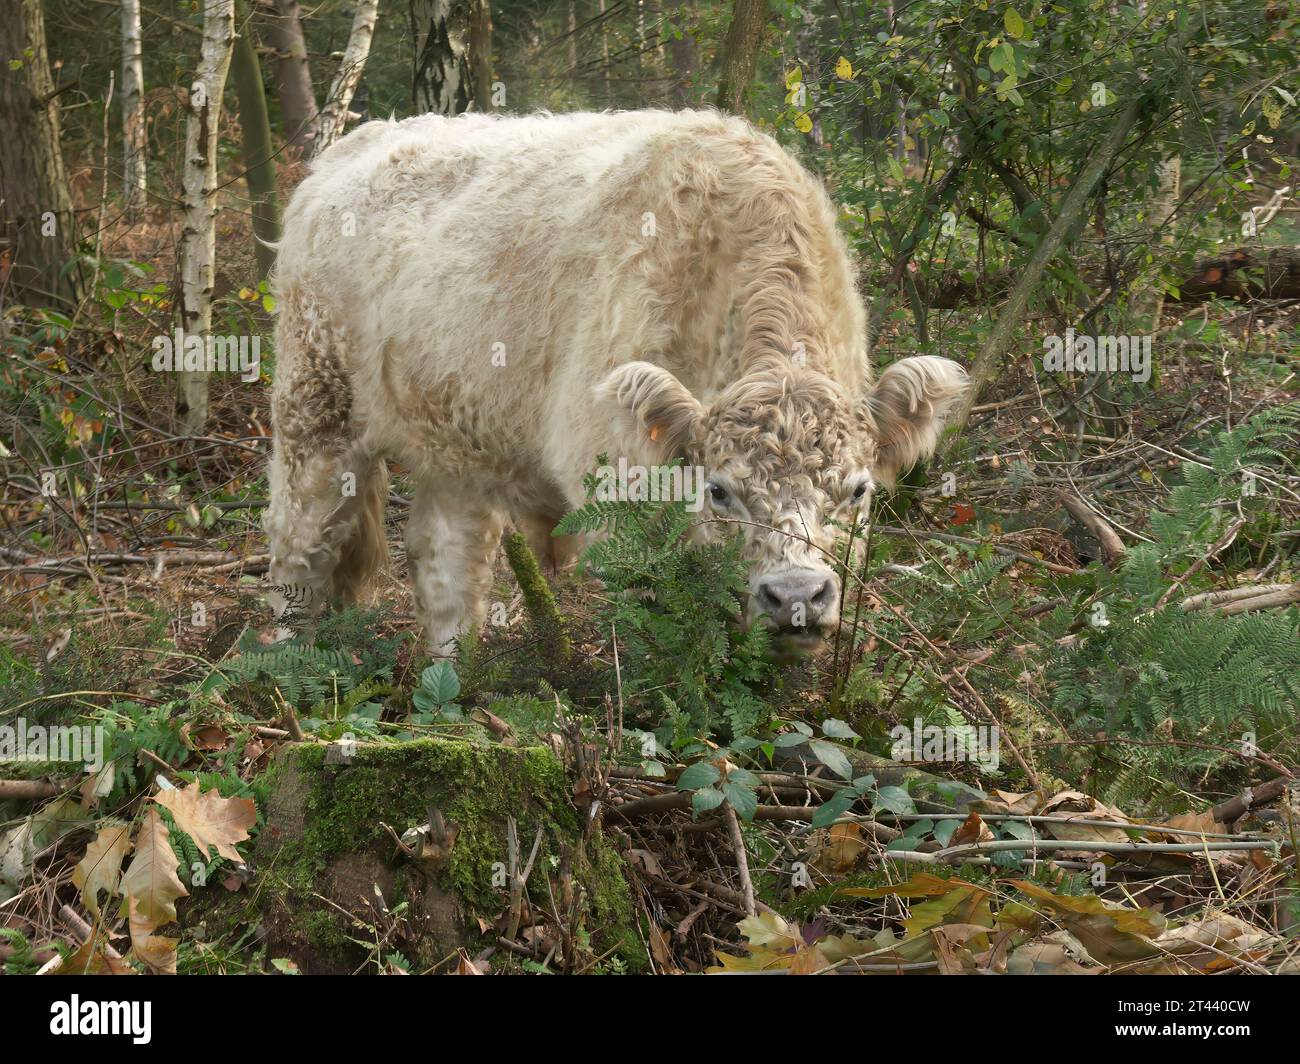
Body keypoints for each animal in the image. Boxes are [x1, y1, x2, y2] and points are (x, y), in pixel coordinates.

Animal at [264, 109, 968, 654]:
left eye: (857, 492)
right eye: (718, 491)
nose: (796, 595)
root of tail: (347, 150)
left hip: (454, 449)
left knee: (445, 566)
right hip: (314, 409)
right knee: (299, 547)